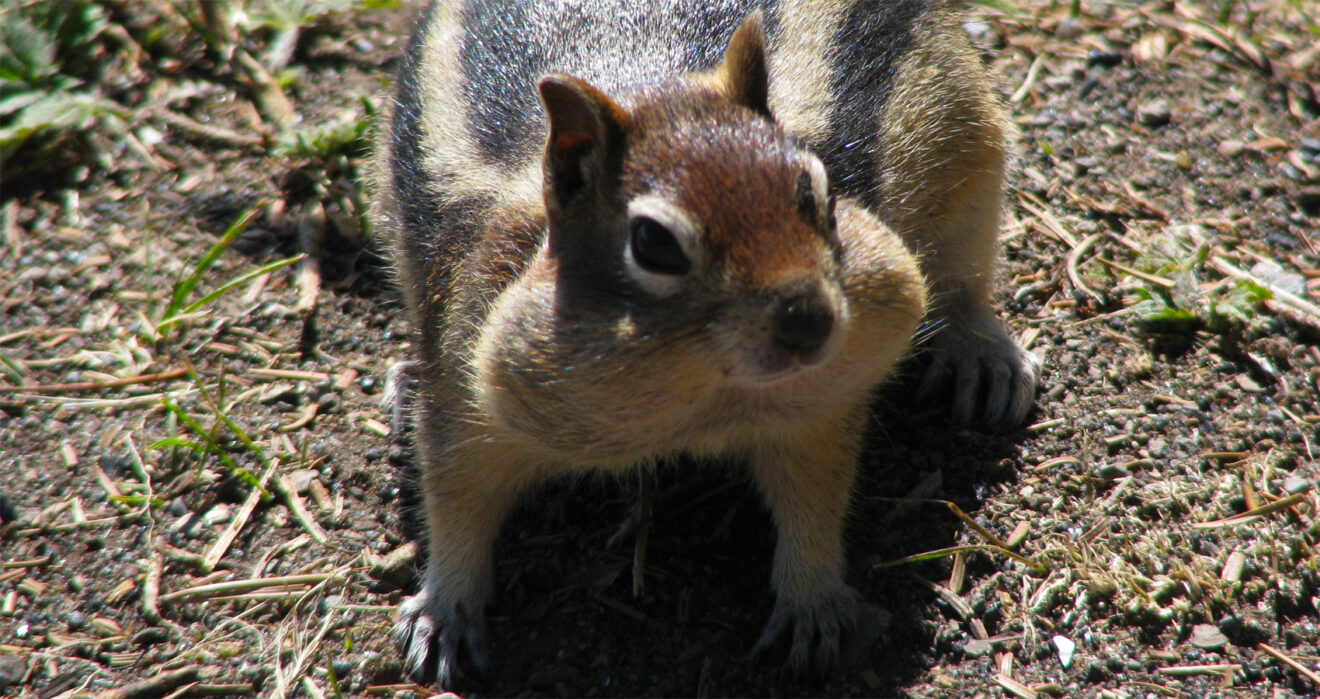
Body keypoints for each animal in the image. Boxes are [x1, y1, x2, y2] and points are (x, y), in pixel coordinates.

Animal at [371, 0, 1039, 687]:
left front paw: (813, 605)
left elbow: (816, 499)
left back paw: (982, 355)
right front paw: (443, 610)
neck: (701, 396)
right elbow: (455, 499)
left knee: (964, 280)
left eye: (820, 193)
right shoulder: (464, 391)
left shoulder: (821, 408)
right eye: (654, 243)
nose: (811, 321)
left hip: (973, 146)